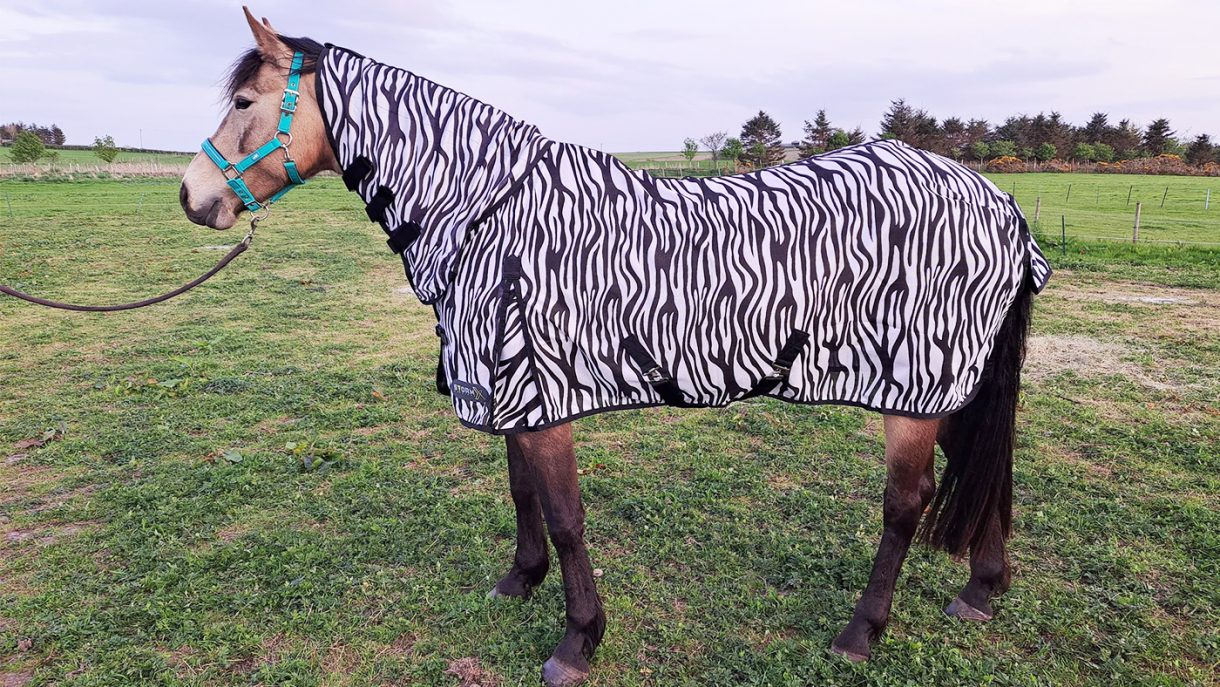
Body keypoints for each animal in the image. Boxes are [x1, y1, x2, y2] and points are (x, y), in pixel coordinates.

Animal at [180, 9, 1049, 686]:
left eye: (246, 100)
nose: (193, 197)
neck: (490, 211)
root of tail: (999, 201)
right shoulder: (514, 392)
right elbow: (522, 494)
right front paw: (519, 579)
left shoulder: (542, 395)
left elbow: (566, 516)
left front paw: (578, 640)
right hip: (950, 386)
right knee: (983, 472)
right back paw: (982, 587)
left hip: (915, 389)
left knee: (907, 502)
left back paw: (860, 631)